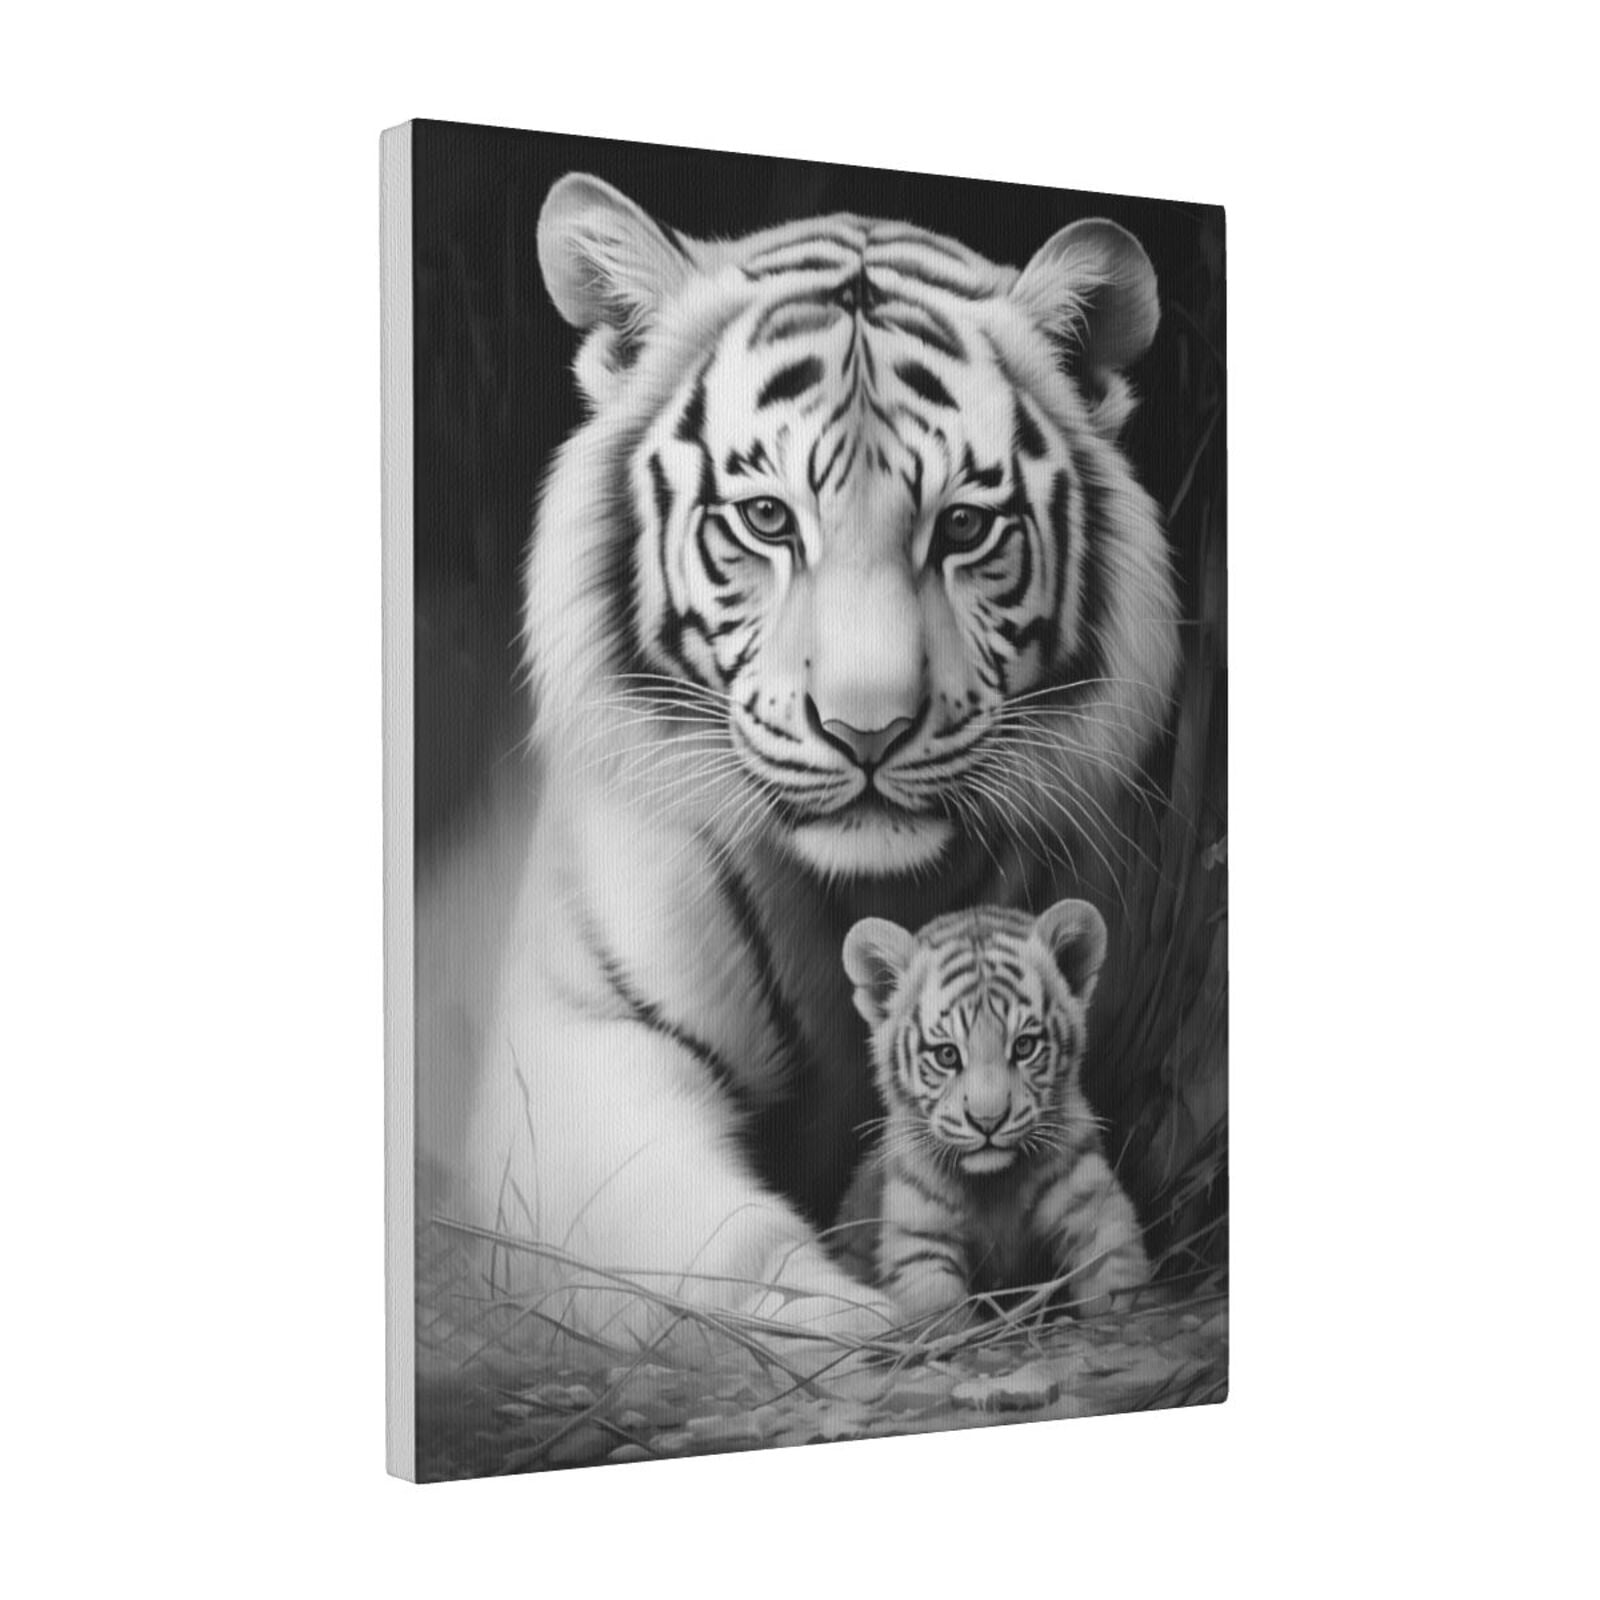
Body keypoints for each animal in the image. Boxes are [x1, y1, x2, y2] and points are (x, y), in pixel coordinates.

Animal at [835, 899, 1150, 1327]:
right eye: (947, 1054)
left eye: (1025, 1046)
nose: (988, 1121)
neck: (995, 1185)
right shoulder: (919, 1241)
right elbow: (939, 1315)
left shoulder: (1093, 1206)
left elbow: (1115, 1273)